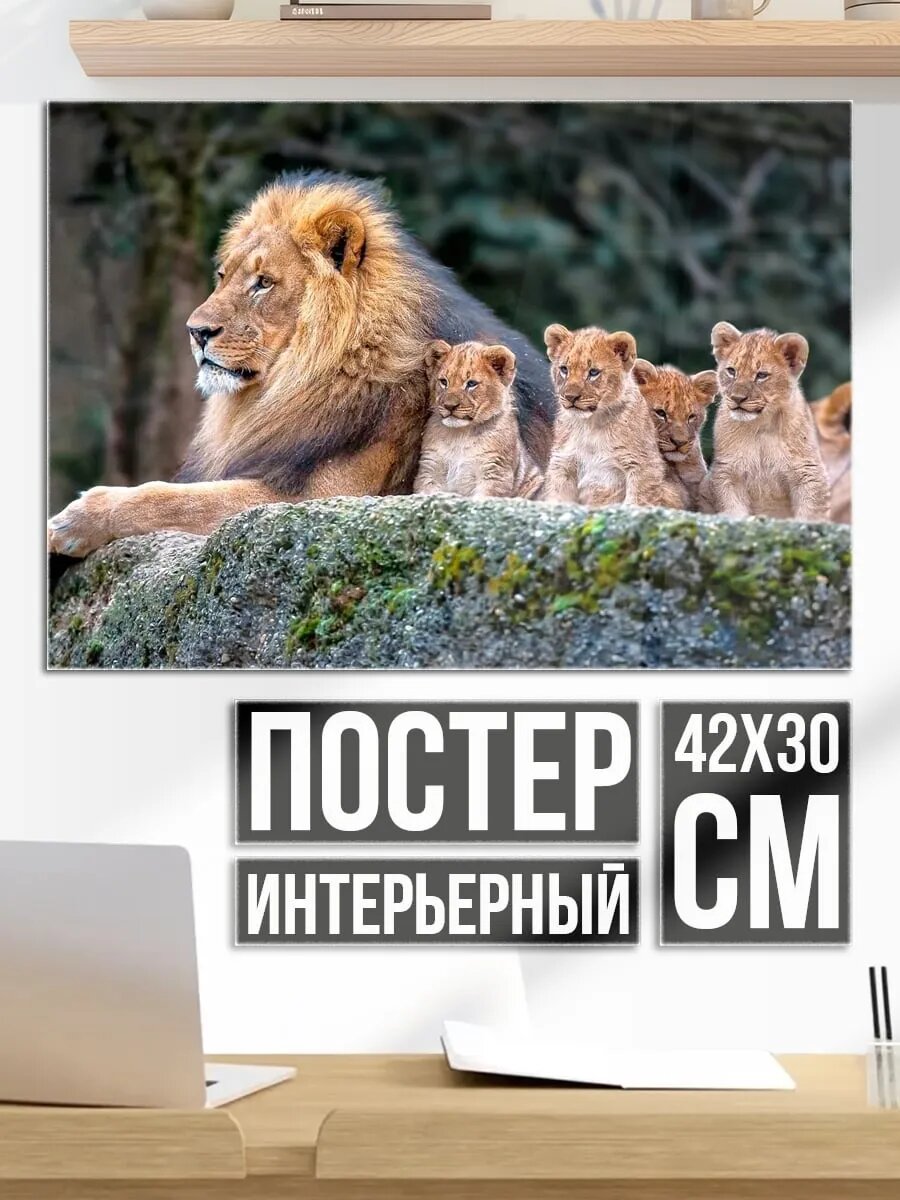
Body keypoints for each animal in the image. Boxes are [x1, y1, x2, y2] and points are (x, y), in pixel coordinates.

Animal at [414, 340, 543, 500]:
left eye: (471, 384)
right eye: (443, 382)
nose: (449, 406)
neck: (460, 435)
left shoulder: (494, 473)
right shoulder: (430, 469)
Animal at [542, 324, 685, 510]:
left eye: (593, 372)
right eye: (564, 369)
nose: (571, 397)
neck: (590, 425)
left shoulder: (644, 465)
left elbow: (637, 500)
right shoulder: (563, 463)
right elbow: (557, 497)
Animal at [701, 322, 830, 522]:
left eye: (761, 375)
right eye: (731, 371)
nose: (737, 398)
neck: (760, 426)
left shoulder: (807, 471)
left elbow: (810, 511)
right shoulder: (728, 471)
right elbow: (733, 508)